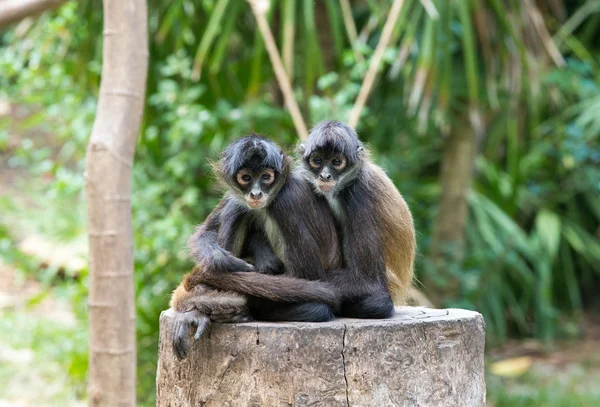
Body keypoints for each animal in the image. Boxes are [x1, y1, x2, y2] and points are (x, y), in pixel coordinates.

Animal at [171, 135, 344, 360]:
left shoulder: (286, 200)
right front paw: (223, 262)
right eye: (246, 177)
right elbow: (203, 233)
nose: (255, 193)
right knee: (237, 207)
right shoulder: (235, 193)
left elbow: (311, 277)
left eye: (265, 177)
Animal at [298, 121, 414, 318]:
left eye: (337, 162)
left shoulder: (359, 192)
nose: (325, 176)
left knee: (379, 302)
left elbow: (368, 280)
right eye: (317, 160)